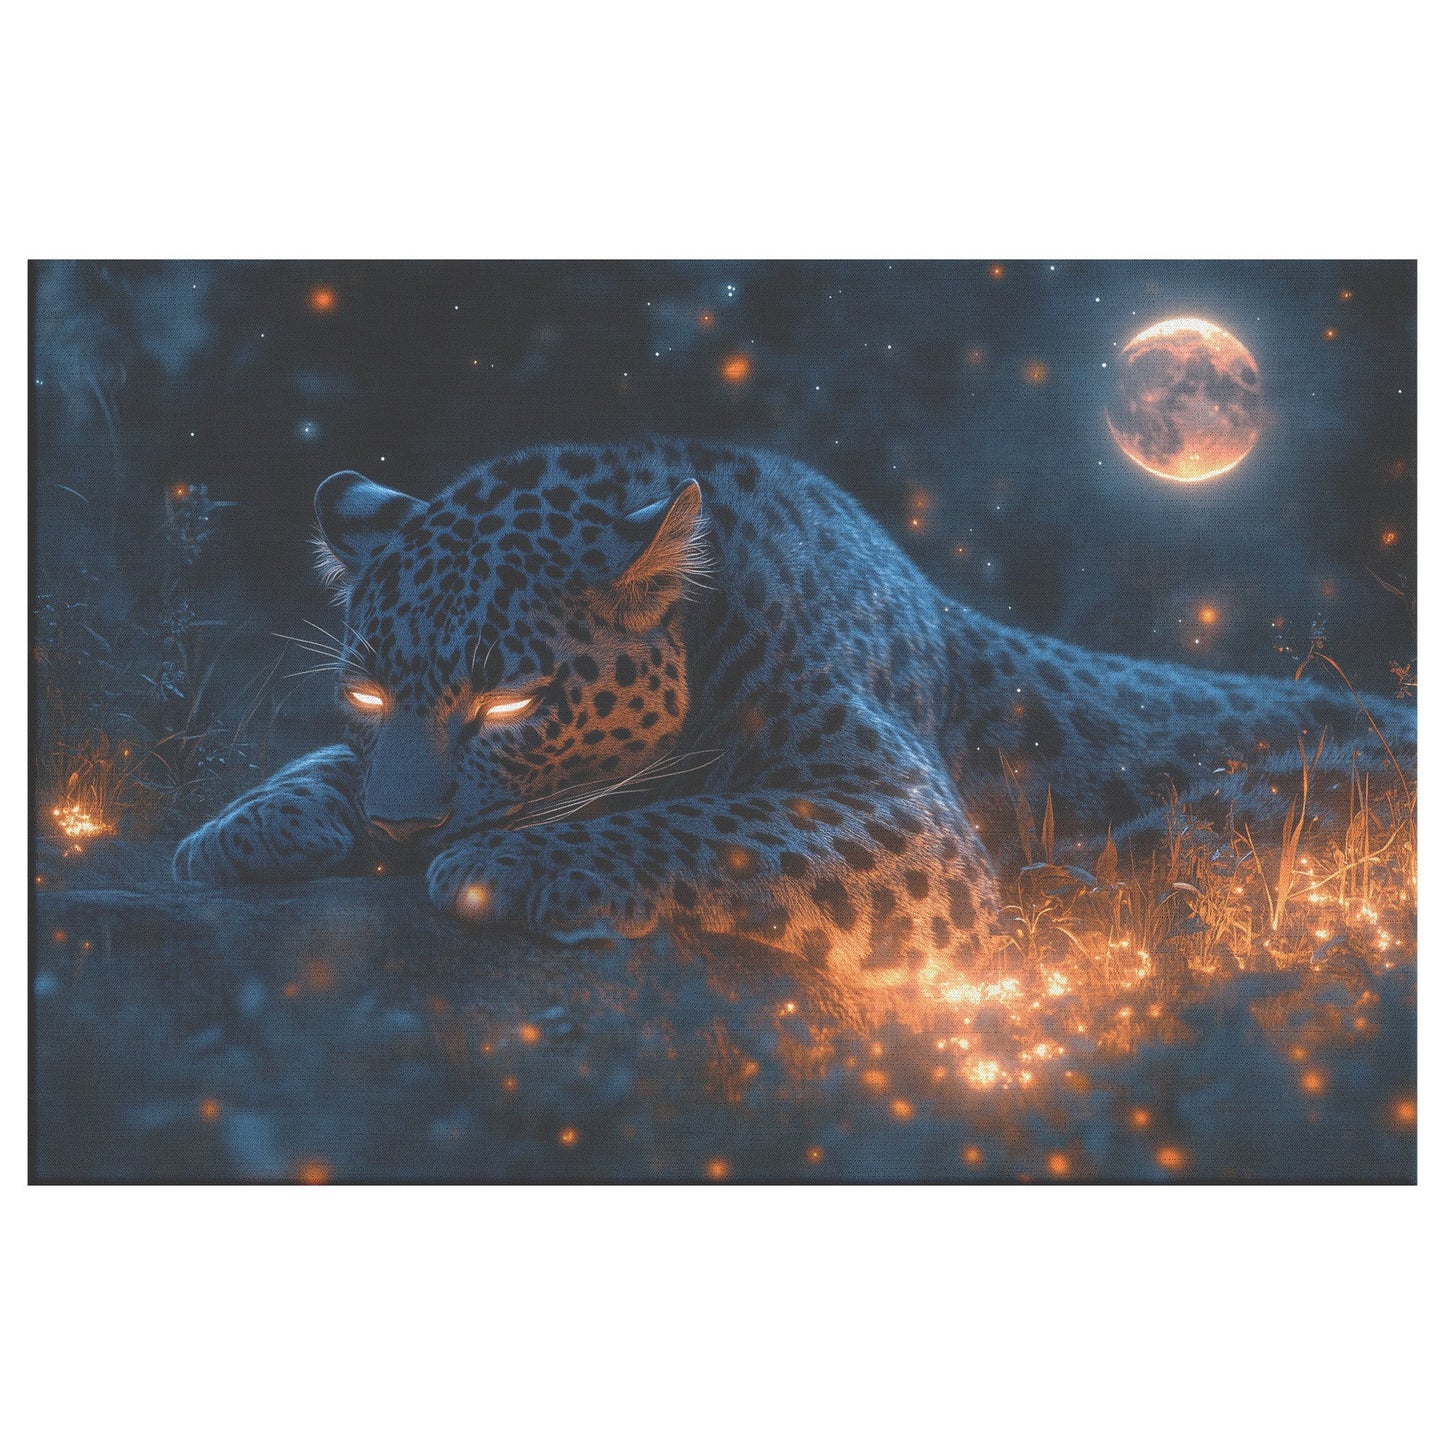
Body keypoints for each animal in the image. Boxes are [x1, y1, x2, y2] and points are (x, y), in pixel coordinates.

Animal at [174, 440, 1415, 984]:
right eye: (370, 687)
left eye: (514, 699)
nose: (401, 832)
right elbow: (324, 759)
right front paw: (239, 828)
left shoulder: (904, 815)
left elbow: (709, 823)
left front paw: (503, 865)